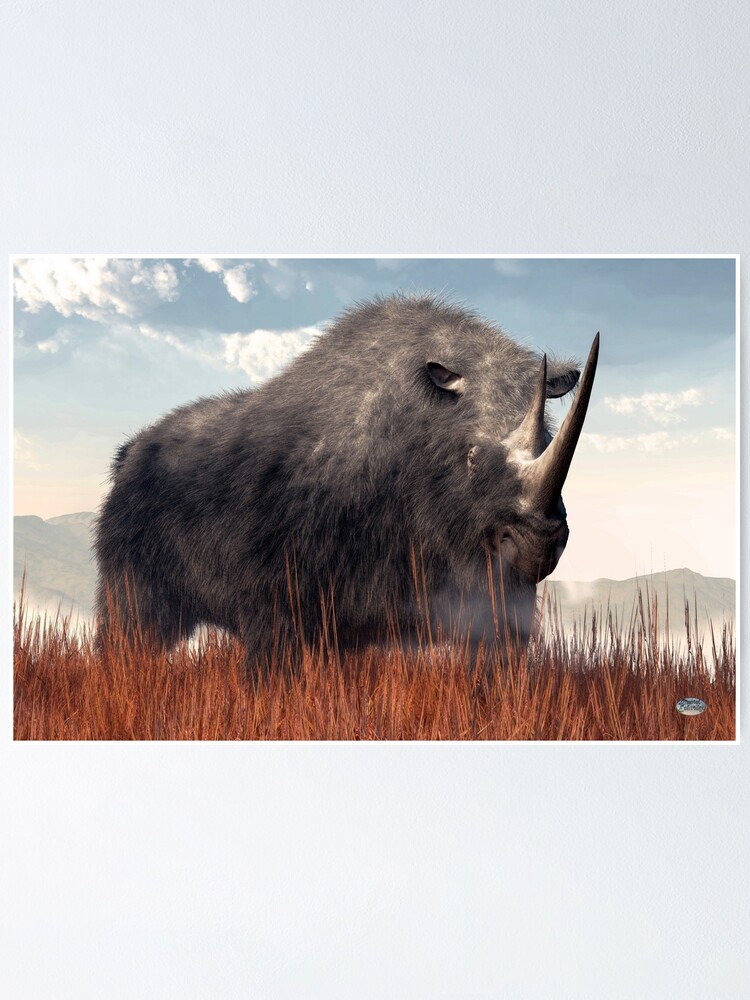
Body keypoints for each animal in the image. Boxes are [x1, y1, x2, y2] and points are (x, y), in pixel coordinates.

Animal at [95, 294, 599, 670]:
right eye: (471, 455)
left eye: (551, 439)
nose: (539, 544)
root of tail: (127, 456)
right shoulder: (279, 607)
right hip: (132, 577)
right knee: (130, 632)